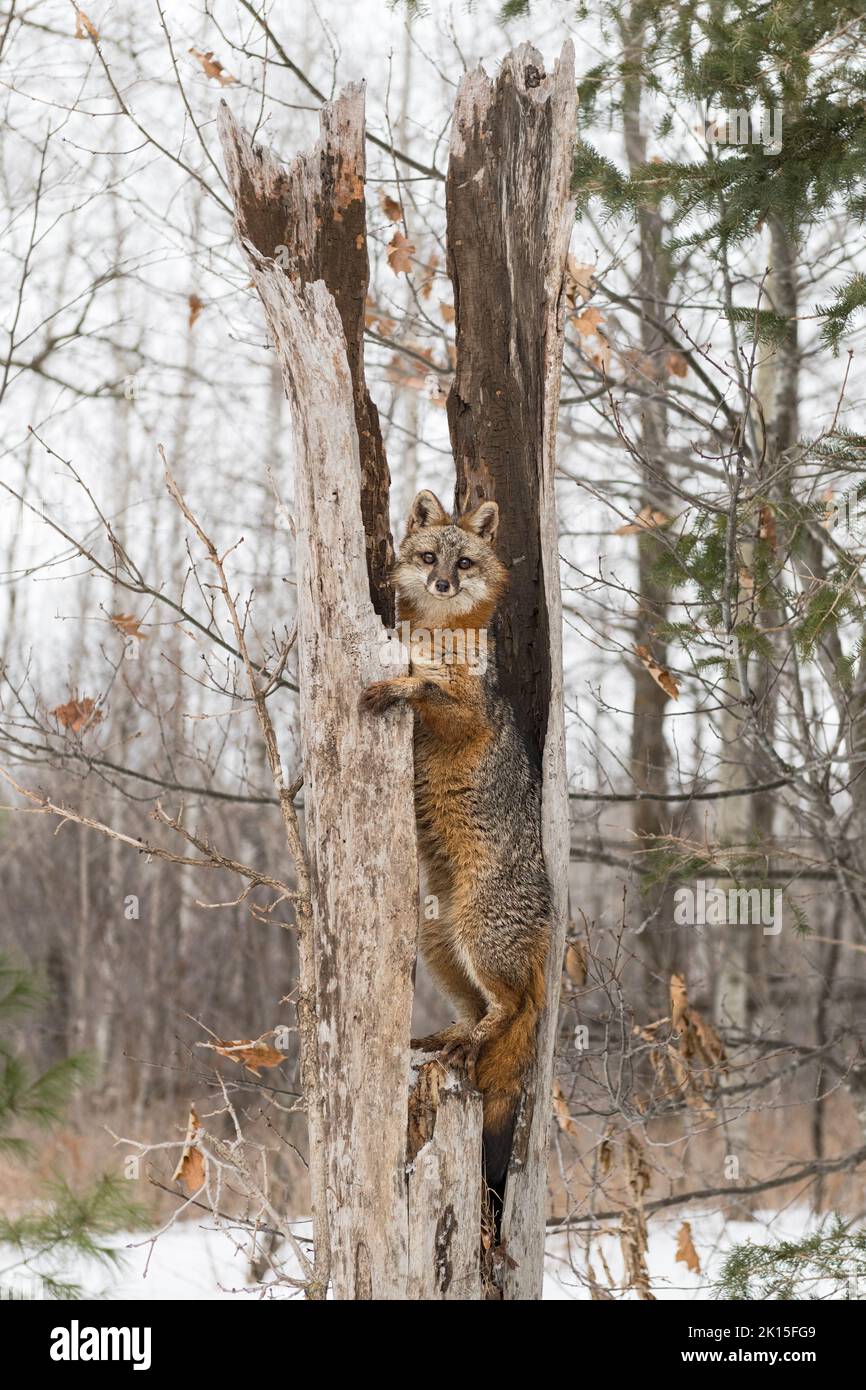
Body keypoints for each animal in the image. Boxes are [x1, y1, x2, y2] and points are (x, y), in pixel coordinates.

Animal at [359, 488, 552, 1211]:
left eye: (463, 562)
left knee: (512, 1007)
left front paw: (401, 686)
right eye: (427, 558)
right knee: (479, 1010)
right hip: (438, 938)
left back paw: (467, 1046)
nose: (443, 583)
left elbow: (432, 689)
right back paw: (449, 1039)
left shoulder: (468, 712)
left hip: (476, 936)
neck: (440, 634)